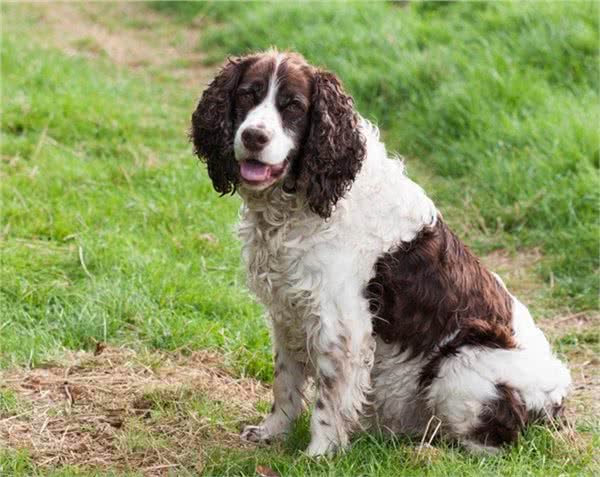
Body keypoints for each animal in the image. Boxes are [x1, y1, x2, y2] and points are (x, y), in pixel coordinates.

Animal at [190, 50, 568, 456]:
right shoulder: (287, 312)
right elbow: (285, 383)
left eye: (293, 106)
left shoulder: (340, 322)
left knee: (490, 445)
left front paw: (319, 453)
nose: (253, 136)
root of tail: (557, 397)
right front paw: (272, 432)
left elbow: (328, 399)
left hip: (461, 360)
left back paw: (428, 451)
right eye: (248, 94)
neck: (306, 203)